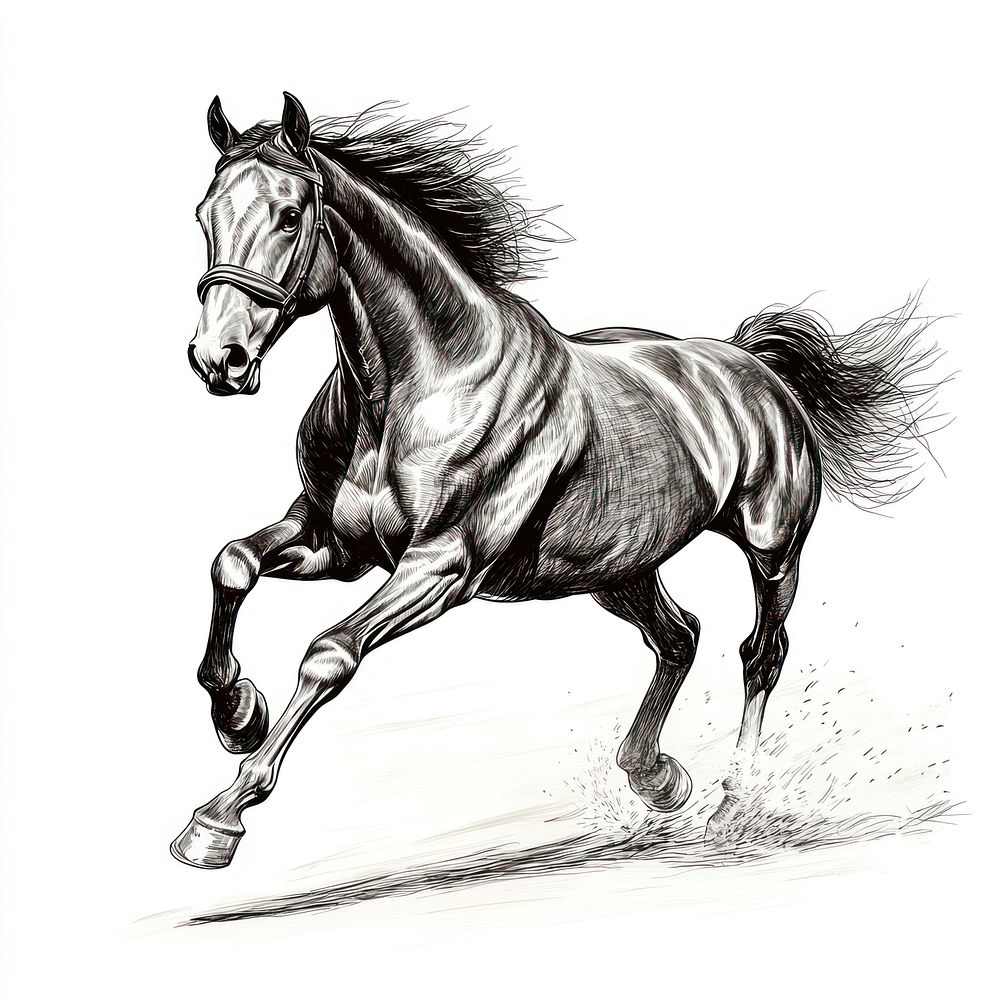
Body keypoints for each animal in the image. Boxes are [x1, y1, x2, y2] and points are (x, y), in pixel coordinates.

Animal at [173, 92, 942, 869]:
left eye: (289, 215)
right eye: (205, 214)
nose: (219, 359)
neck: (417, 385)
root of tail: (756, 367)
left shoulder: (441, 566)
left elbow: (329, 655)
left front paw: (216, 821)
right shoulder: (337, 543)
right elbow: (231, 564)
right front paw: (237, 712)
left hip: (772, 548)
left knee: (761, 654)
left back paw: (732, 807)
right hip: (618, 569)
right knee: (679, 637)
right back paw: (658, 779)